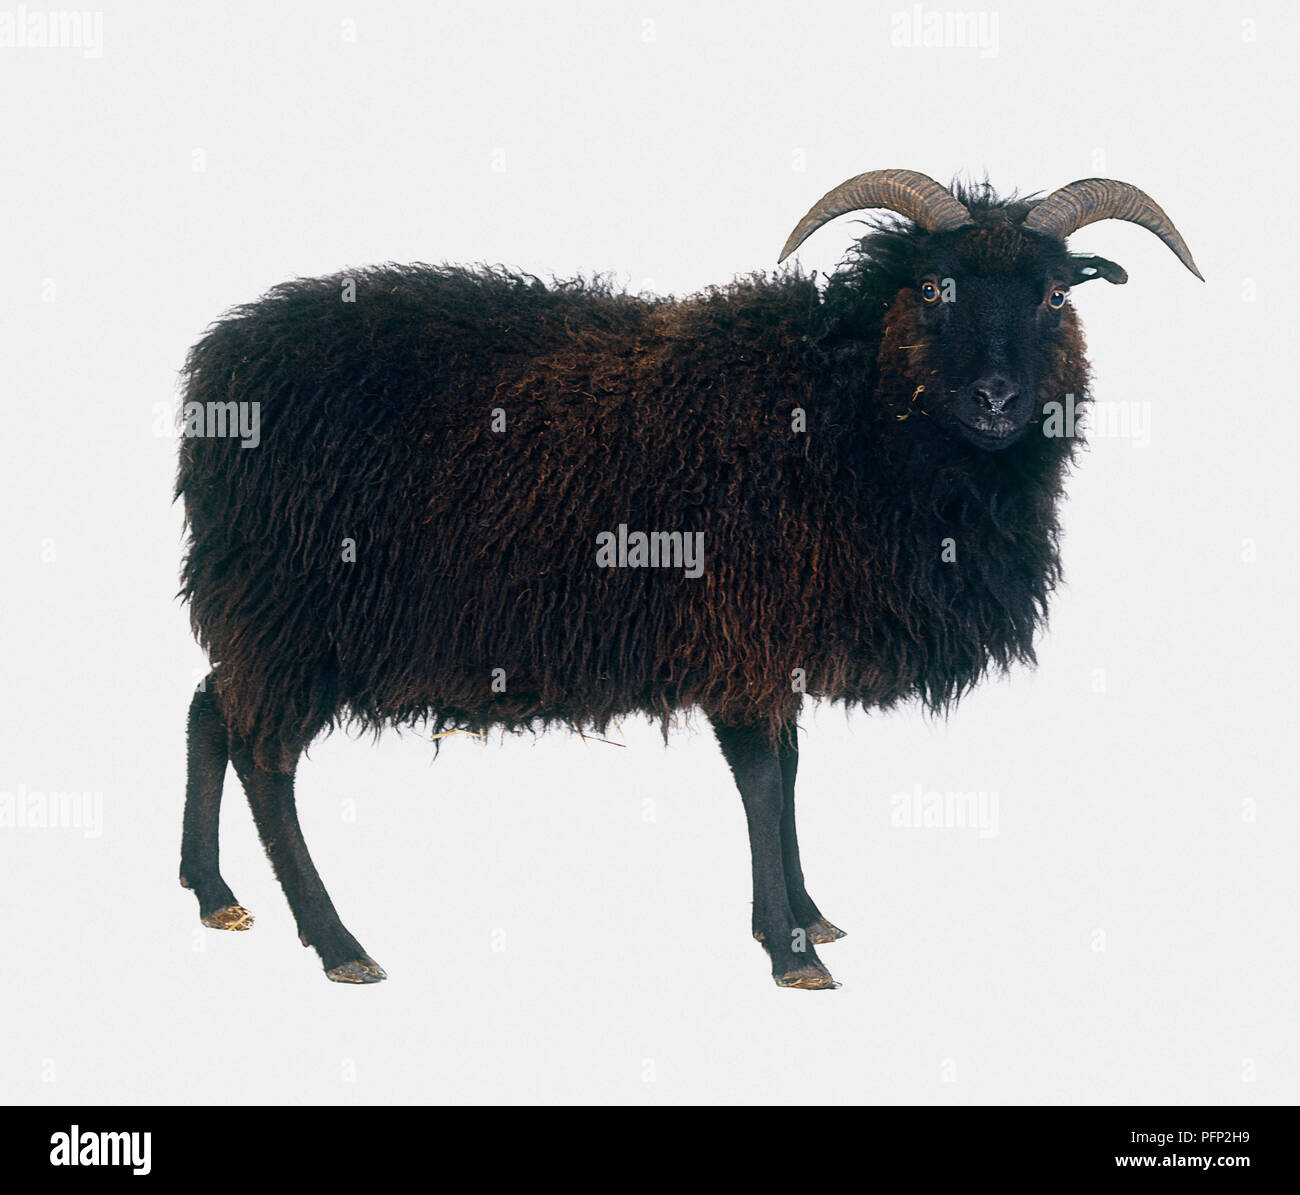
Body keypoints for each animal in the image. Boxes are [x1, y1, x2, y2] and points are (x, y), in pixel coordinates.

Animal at [176, 169, 1201, 988]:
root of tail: (222, 367)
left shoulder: (775, 643)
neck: (843, 416)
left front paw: (805, 913)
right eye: (932, 286)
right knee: (264, 757)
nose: (997, 399)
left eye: (1055, 296)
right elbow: (762, 778)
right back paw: (336, 940)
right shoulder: (741, 630)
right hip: (292, 607)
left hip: (263, 611)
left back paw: (212, 891)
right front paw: (791, 950)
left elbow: (790, 769)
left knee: (209, 709)